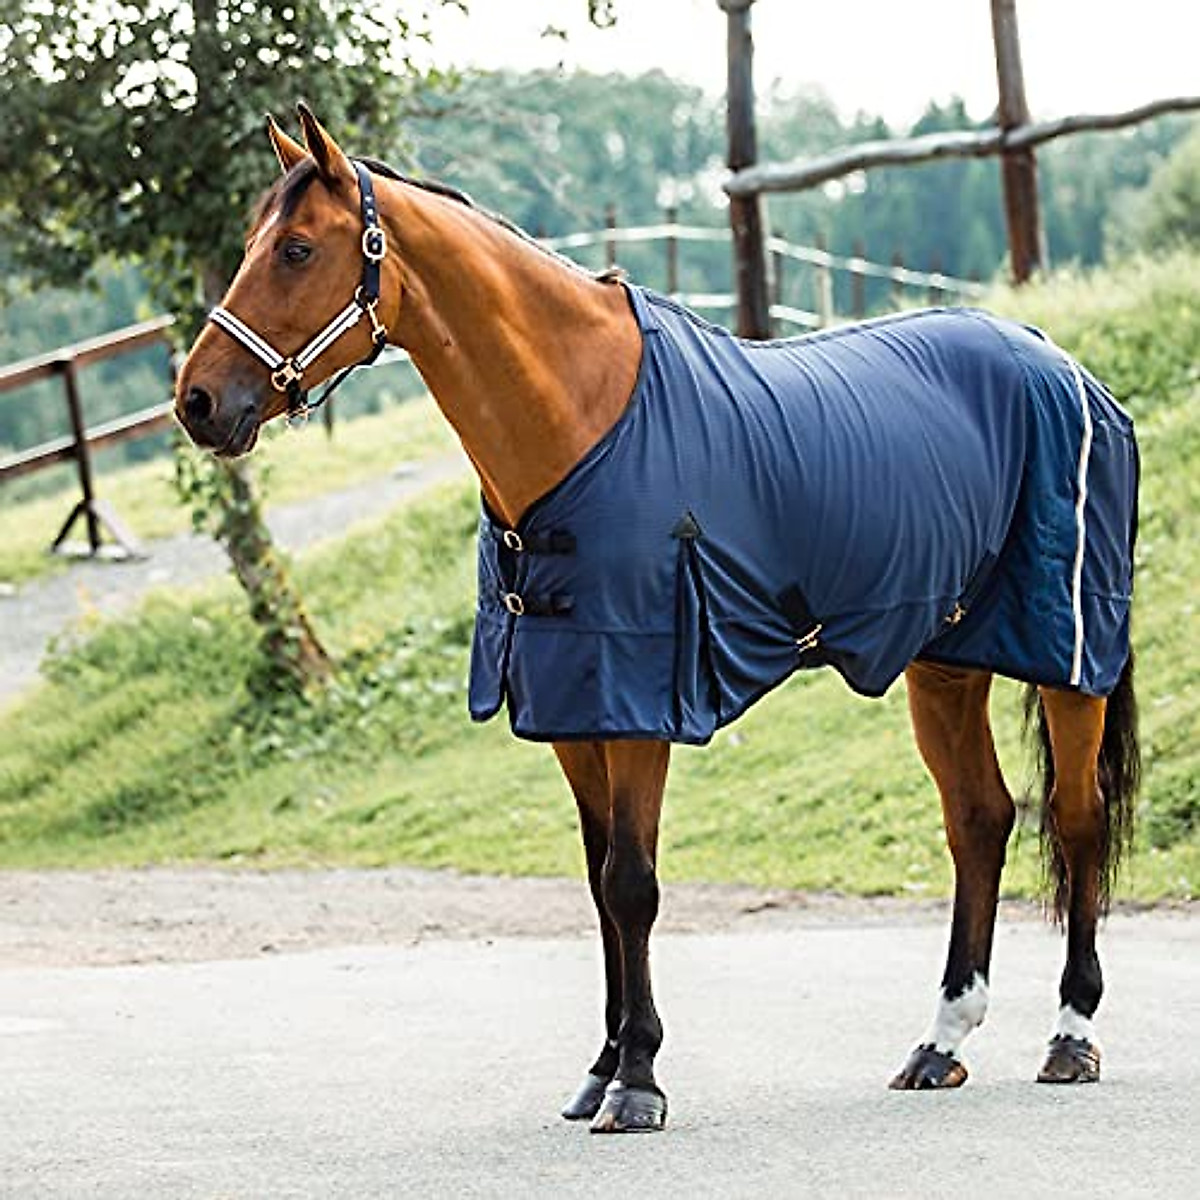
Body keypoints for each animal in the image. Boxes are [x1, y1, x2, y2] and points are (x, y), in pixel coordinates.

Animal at [175, 104, 1140, 1134]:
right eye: (250, 244)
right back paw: (941, 1042)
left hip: (1068, 657)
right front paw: (601, 1068)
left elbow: (630, 885)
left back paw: (1073, 1034)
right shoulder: (571, 707)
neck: (581, 415)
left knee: (1077, 818)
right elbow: (599, 883)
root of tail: (1065, 366)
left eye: (297, 250)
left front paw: (637, 1081)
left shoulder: (638, 700)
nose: (198, 401)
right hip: (944, 660)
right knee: (980, 820)